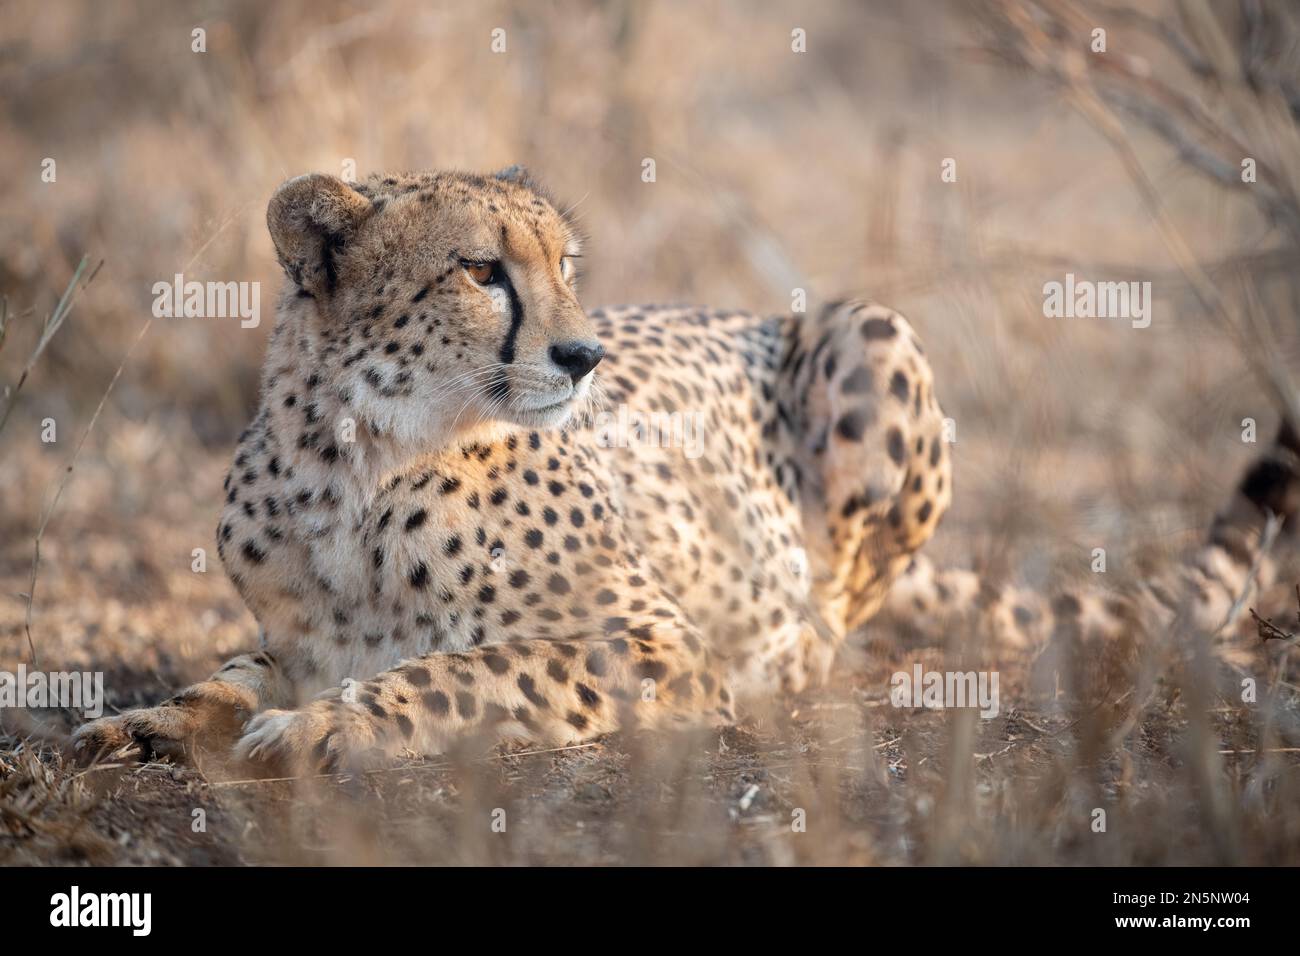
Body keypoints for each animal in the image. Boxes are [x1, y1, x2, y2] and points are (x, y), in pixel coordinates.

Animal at [72, 166, 1300, 774]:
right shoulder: (298, 634)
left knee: (838, 606)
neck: (360, 457)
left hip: (867, 330)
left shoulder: (657, 640)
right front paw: (159, 718)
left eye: (566, 265)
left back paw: (793, 649)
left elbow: (466, 669)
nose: (583, 353)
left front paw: (330, 727)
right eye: (481, 270)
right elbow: (237, 670)